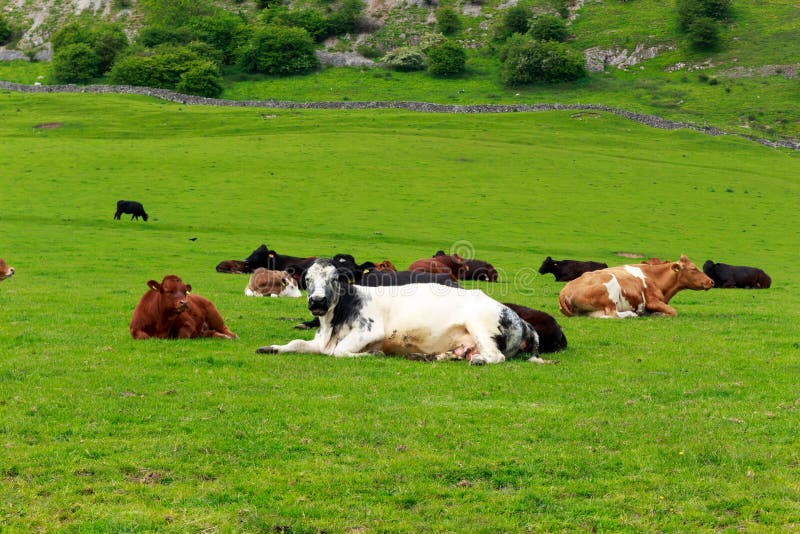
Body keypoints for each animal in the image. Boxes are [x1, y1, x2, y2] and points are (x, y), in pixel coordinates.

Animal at [257, 258, 549, 365]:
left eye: (334, 279)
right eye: (308, 280)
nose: (317, 301)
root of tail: (520, 319)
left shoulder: (370, 331)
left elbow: (341, 352)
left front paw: (371, 354)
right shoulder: (320, 341)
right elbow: (296, 342)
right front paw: (271, 348)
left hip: (481, 327)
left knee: (495, 356)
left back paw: (479, 361)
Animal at [558, 255, 713, 318]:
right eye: (693, 268)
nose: (711, 281)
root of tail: (564, 290)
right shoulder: (652, 301)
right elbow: (673, 311)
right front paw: (658, 314)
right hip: (611, 287)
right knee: (612, 314)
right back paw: (632, 314)